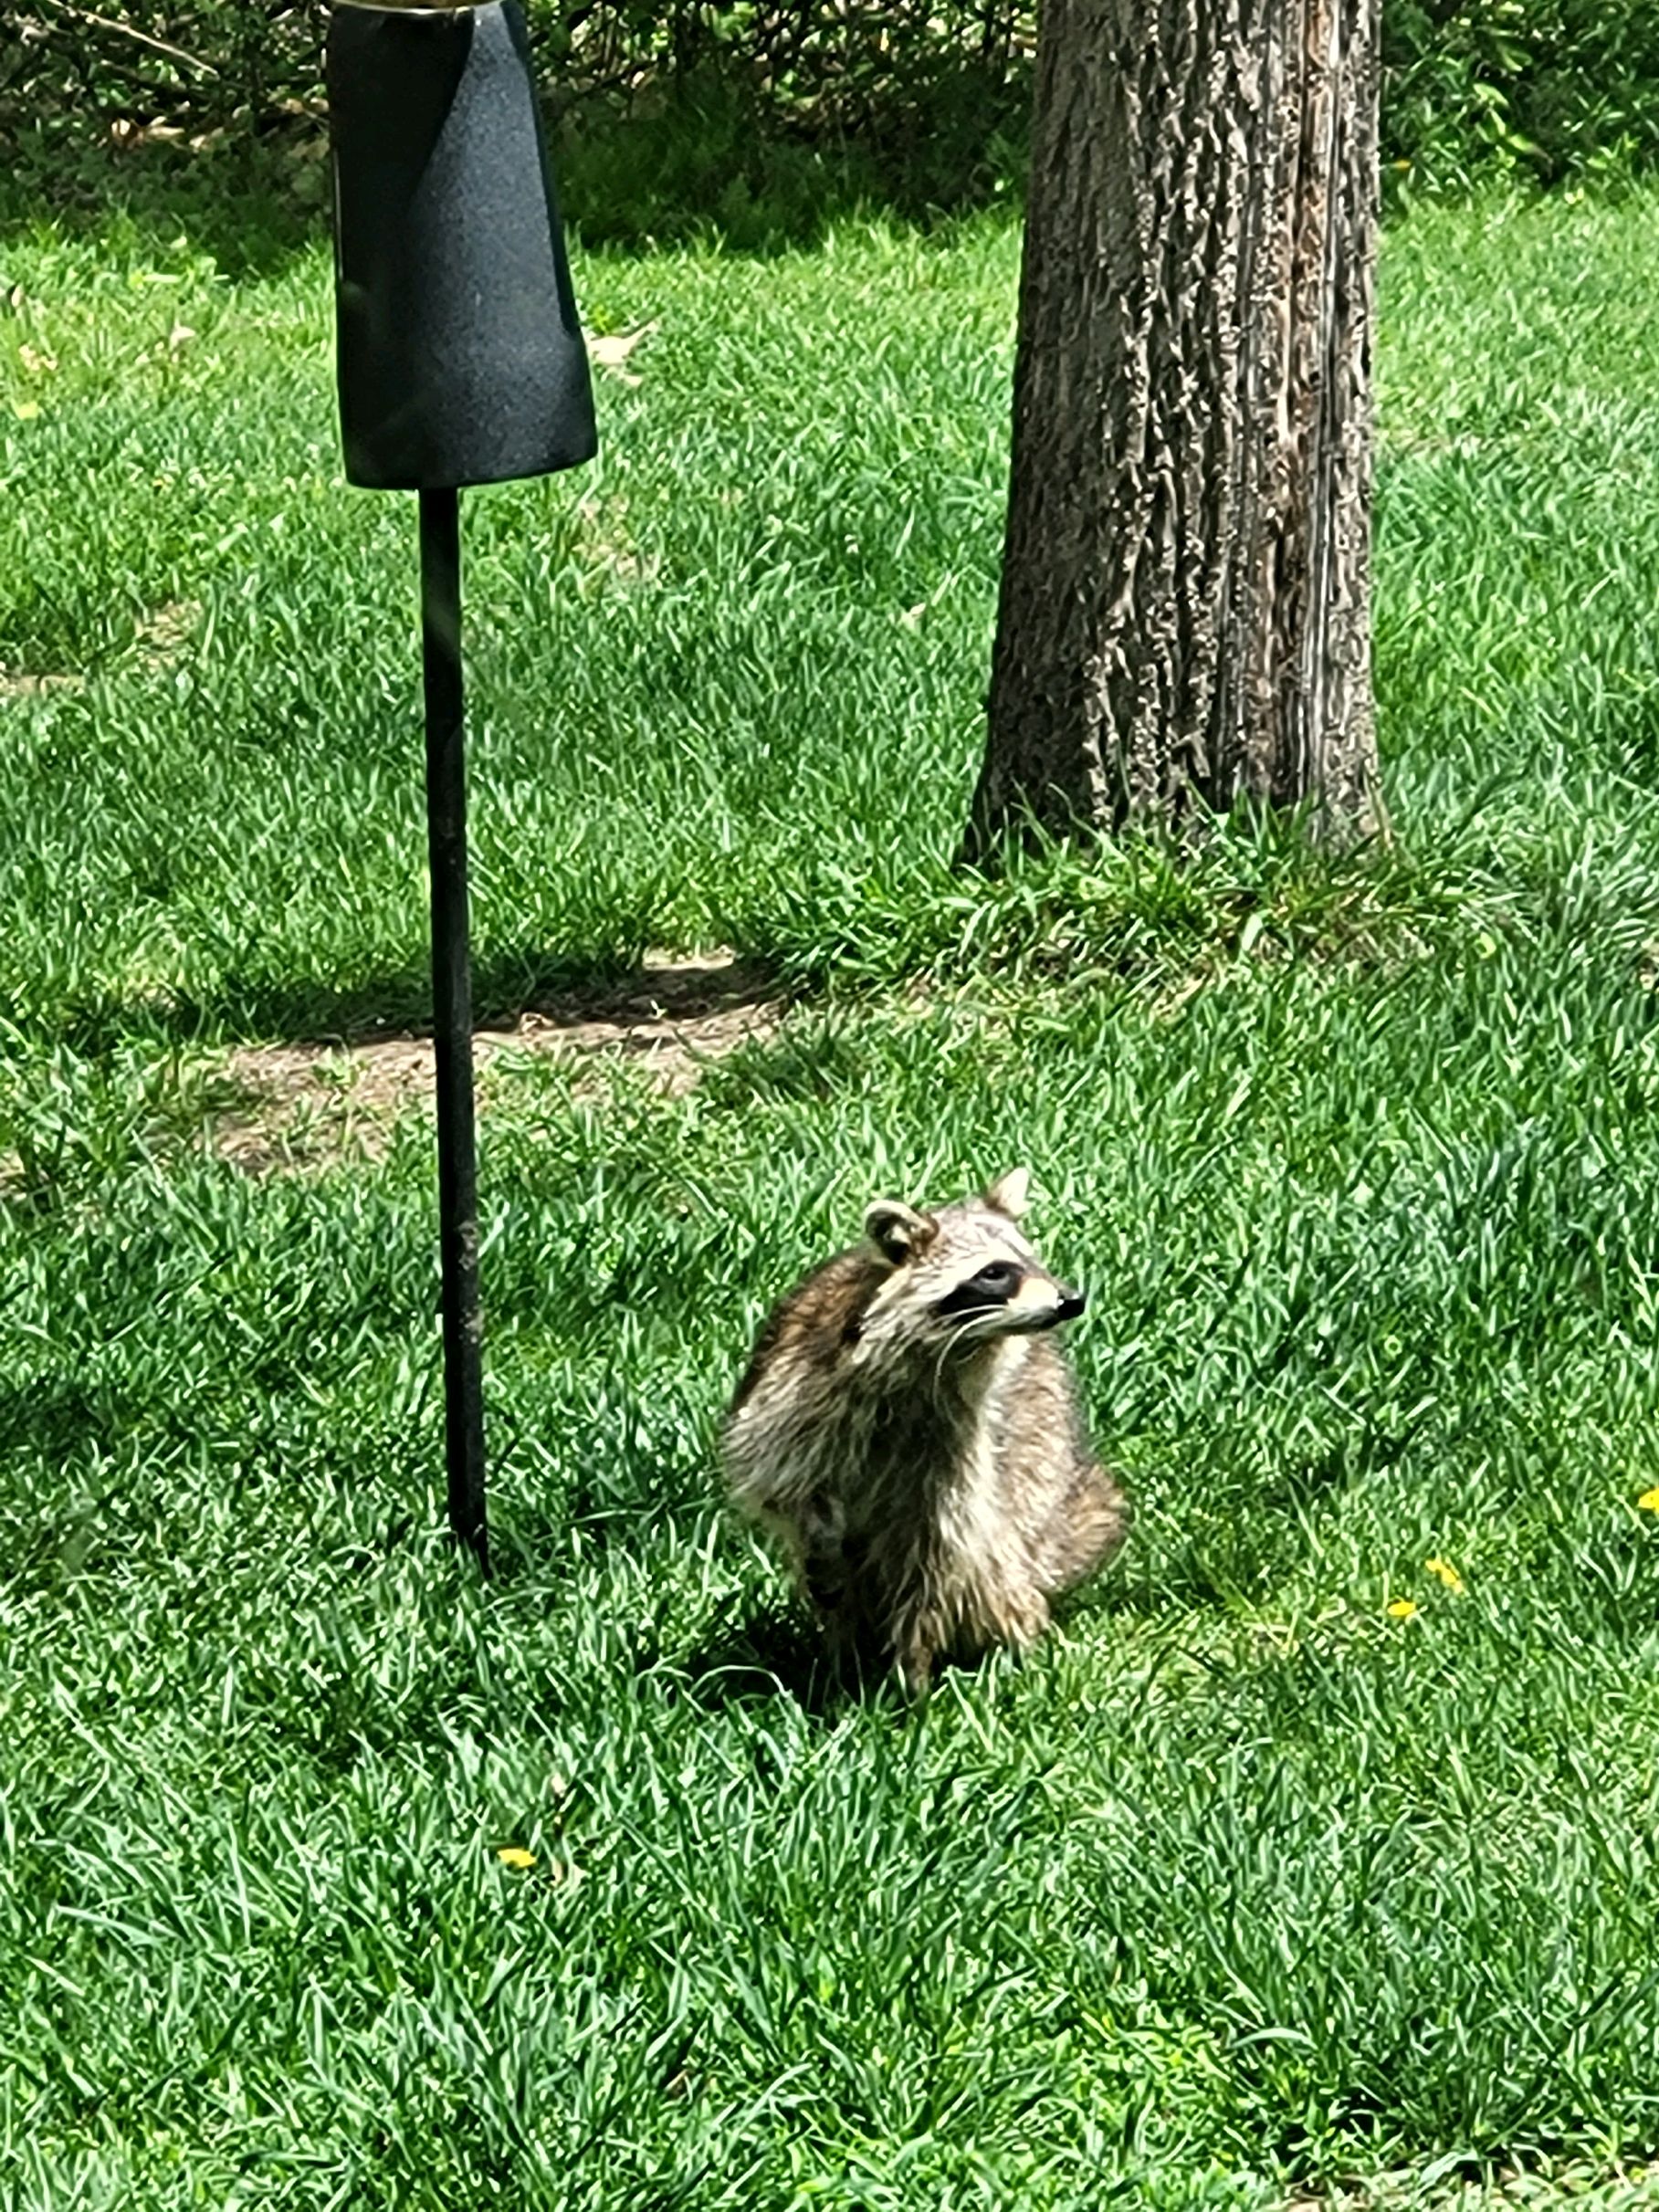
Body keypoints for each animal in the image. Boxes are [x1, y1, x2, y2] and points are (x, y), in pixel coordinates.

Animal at [721, 1169, 1129, 1695]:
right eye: (995, 1272)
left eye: (1031, 1259)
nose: (1071, 1300)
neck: (954, 1349)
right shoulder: (793, 1403)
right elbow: (791, 1491)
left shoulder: (953, 1452)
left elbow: (935, 1556)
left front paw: (911, 1668)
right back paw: (844, 1658)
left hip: (1035, 1464)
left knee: (988, 1565)